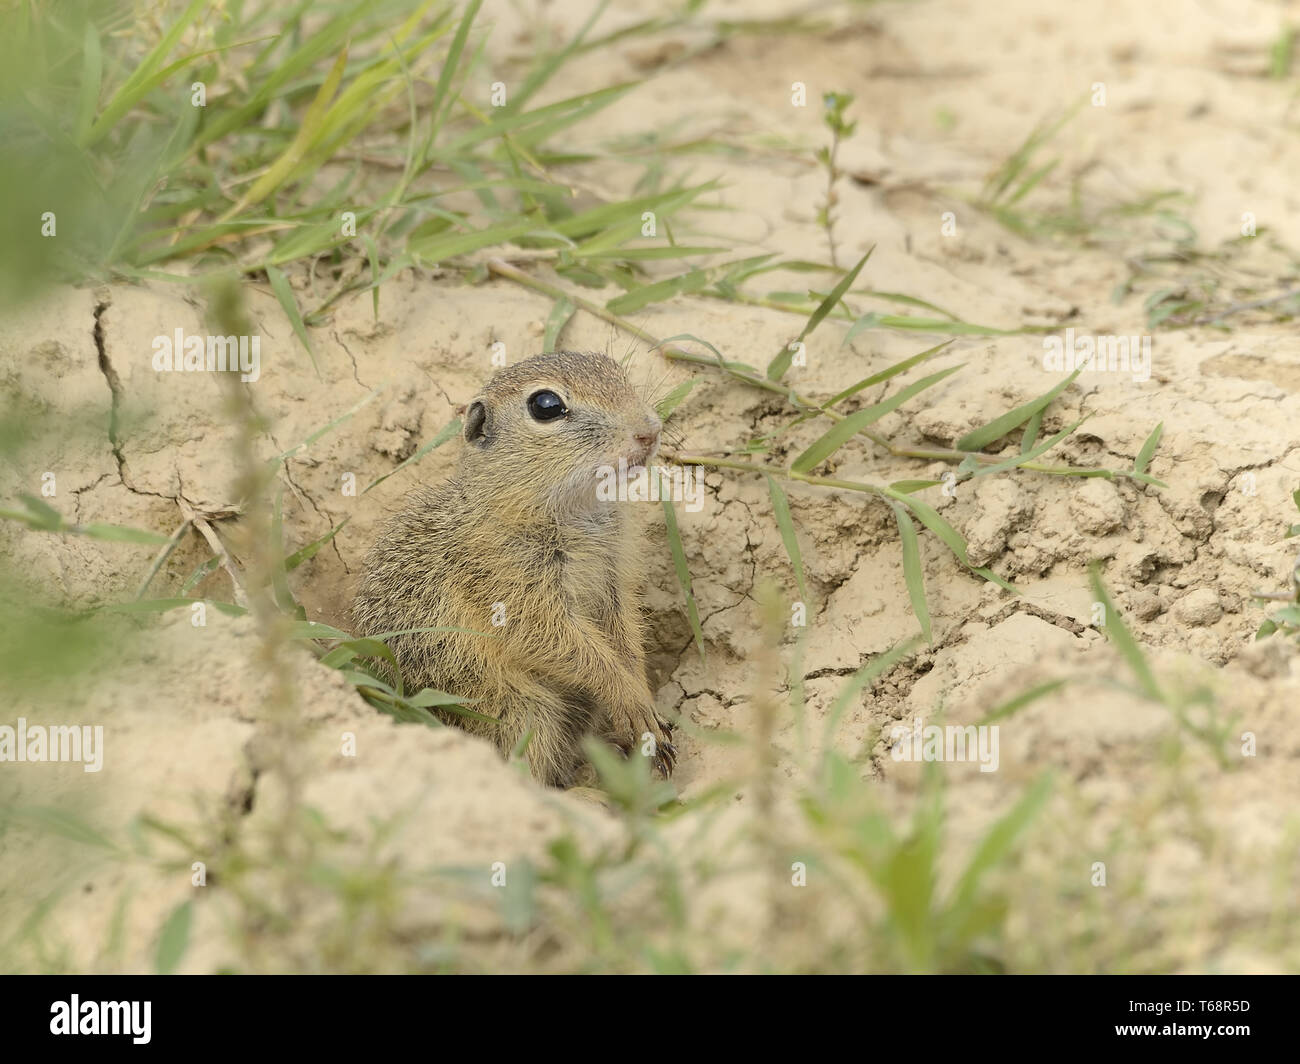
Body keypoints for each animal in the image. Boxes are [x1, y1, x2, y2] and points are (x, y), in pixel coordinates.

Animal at [351, 350, 677, 788]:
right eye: (546, 405)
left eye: (613, 369)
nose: (649, 431)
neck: (575, 510)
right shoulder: (512, 588)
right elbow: (568, 646)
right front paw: (631, 702)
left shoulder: (613, 577)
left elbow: (626, 638)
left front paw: (644, 702)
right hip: (522, 709)